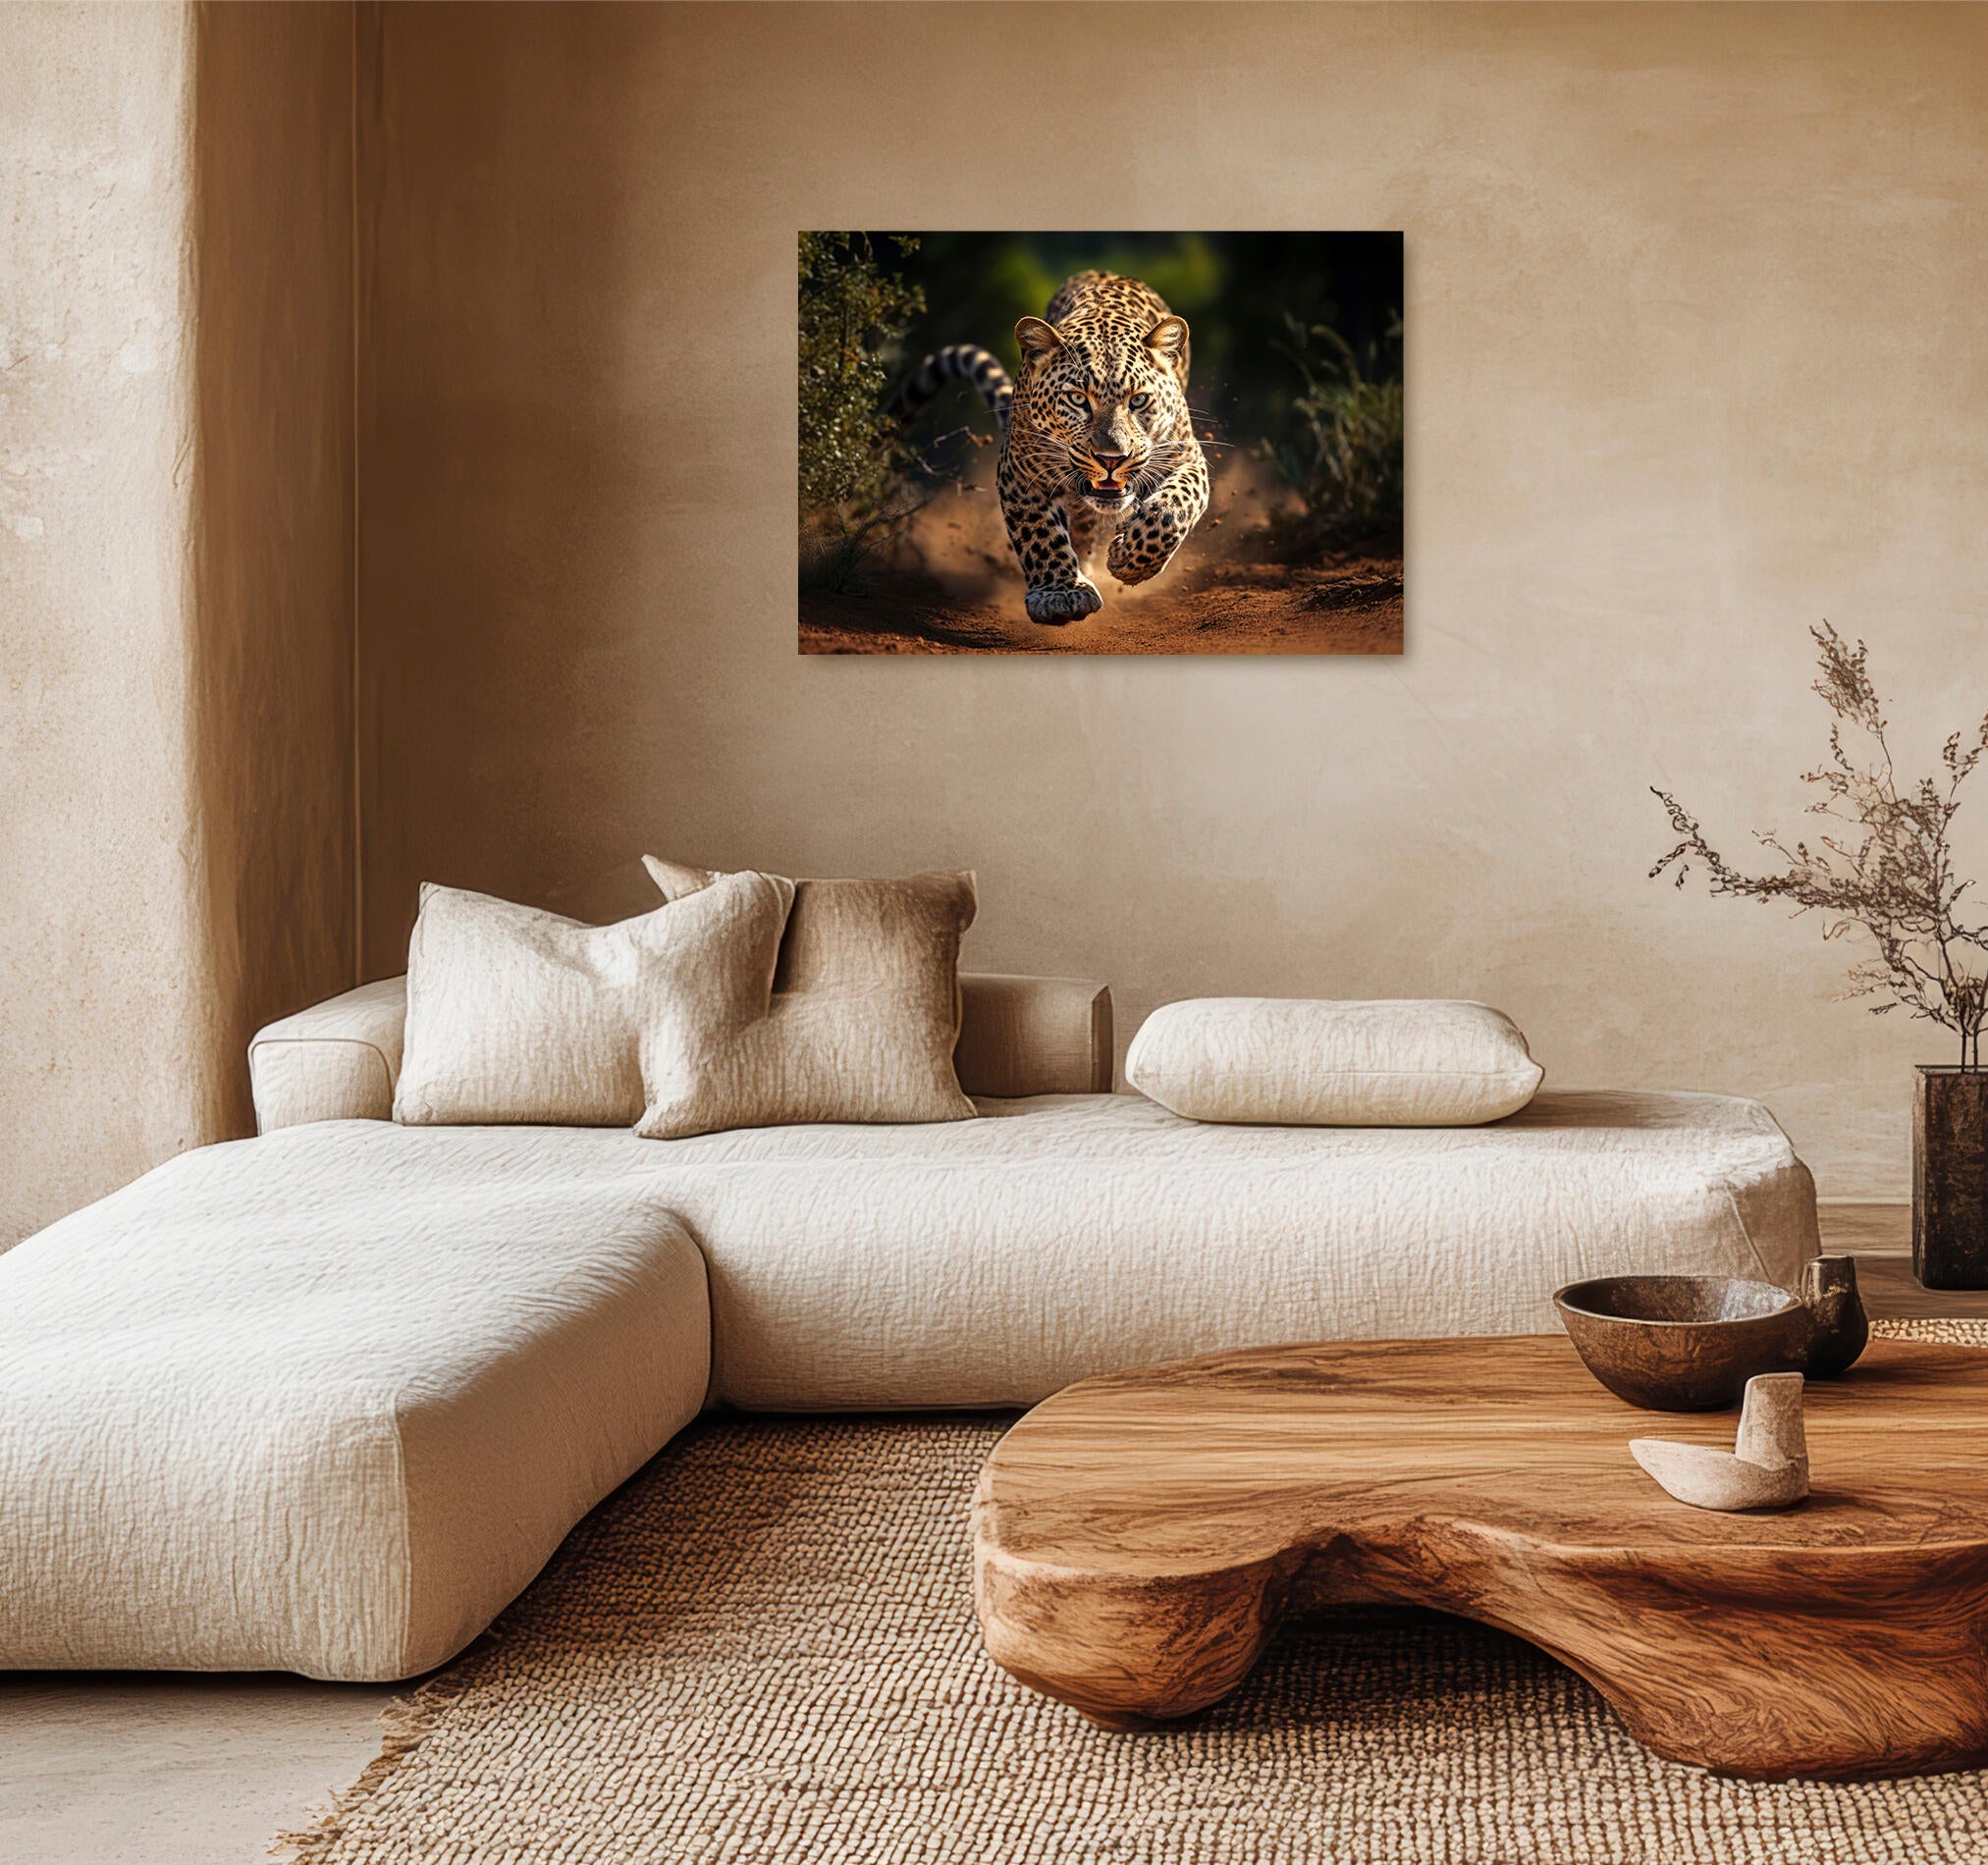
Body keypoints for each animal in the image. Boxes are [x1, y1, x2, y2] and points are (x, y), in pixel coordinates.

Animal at [891, 271, 1210, 625]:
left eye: (1138, 400)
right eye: (1077, 399)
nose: (1111, 459)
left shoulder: (1187, 457)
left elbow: (1176, 505)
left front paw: (1131, 561)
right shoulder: (1018, 472)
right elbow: (1038, 533)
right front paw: (1061, 592)